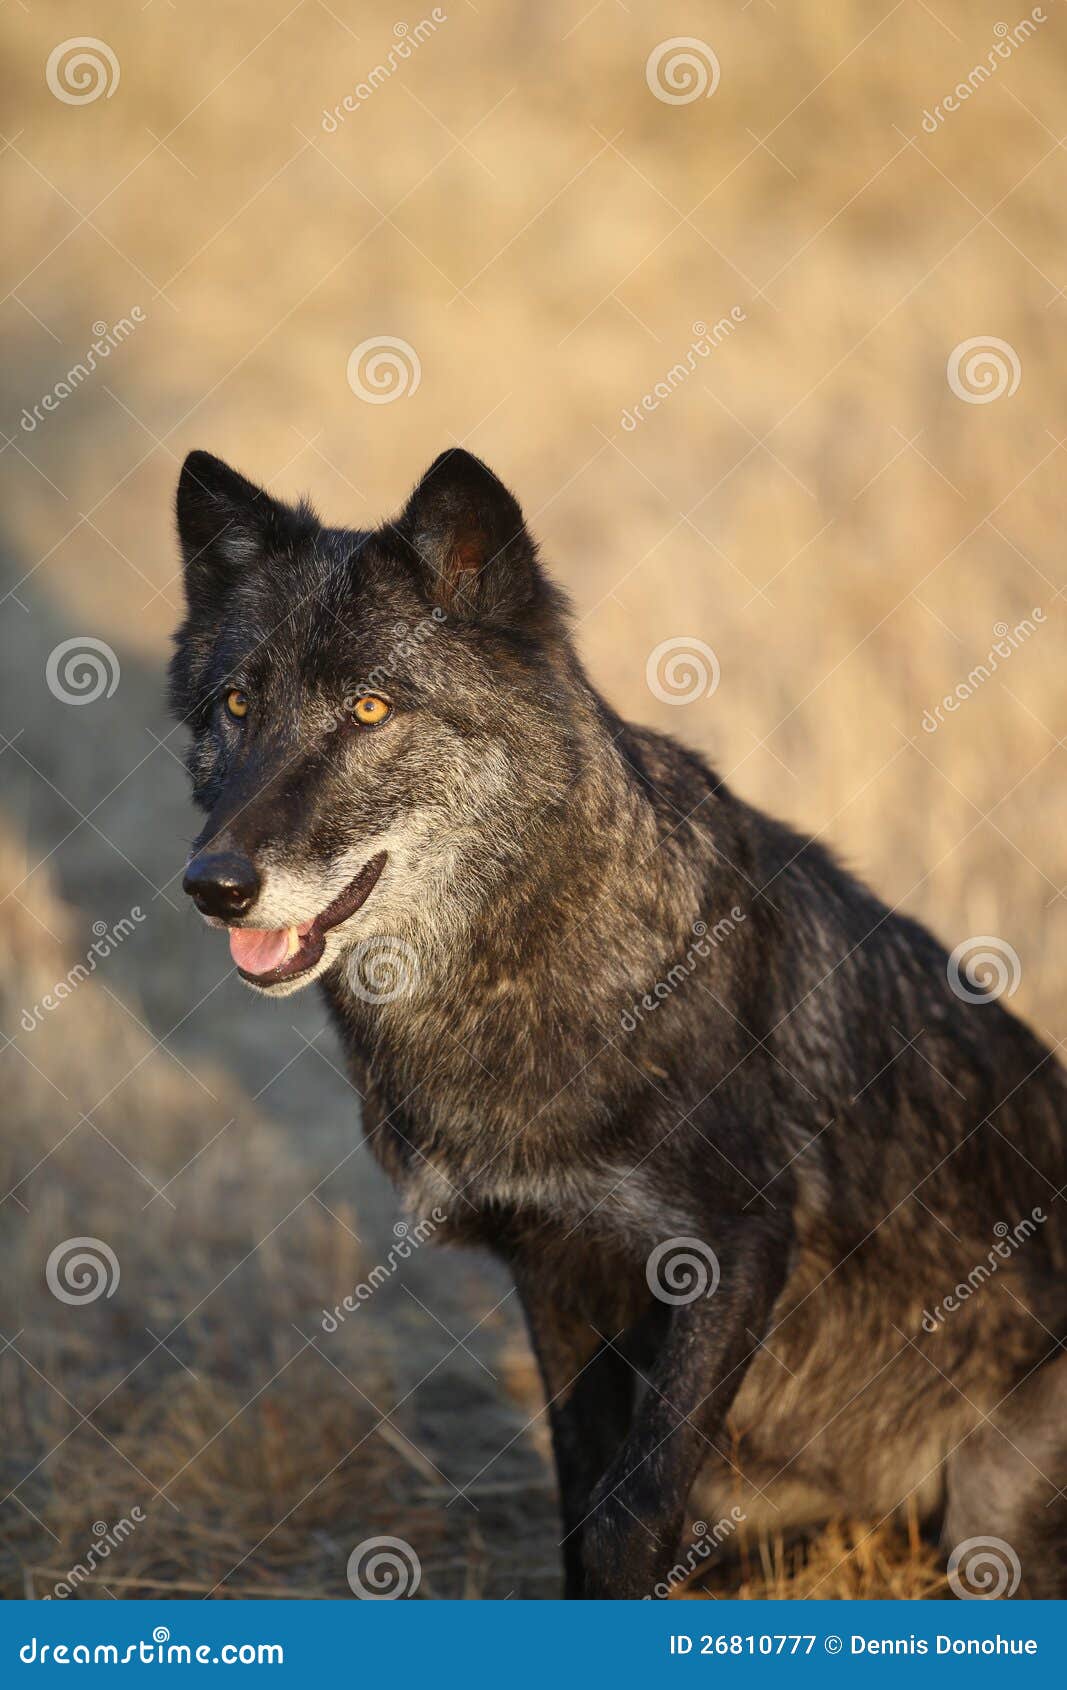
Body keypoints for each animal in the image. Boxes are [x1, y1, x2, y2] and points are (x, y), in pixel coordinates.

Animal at [171, 448, 1066, 1599]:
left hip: (991, 1502)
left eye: (369, 709)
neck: (519, 972)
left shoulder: (733, 1250)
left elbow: (629, 1512)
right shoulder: (550, 1268)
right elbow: (579, 1499)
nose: (213, 885)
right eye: (236, 703)